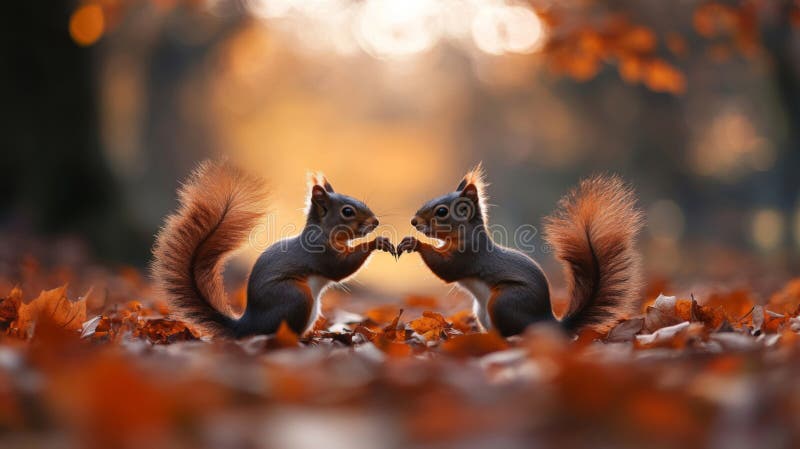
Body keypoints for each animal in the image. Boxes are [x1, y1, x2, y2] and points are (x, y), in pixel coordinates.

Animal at [151, 160, 395, 338]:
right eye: (347, 211)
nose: (375, 222)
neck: (325, 233)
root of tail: (247, 326)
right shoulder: (320, 253)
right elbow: (340, 269)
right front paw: (377, 242)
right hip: (296, 296)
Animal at [397, 164, 644, 337]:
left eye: (441, 211)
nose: (413, 222)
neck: (462, 234)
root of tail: (547, 323)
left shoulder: (469, 256)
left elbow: (446, 269)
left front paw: (414, 243)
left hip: (505, 302)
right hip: (482, 312)